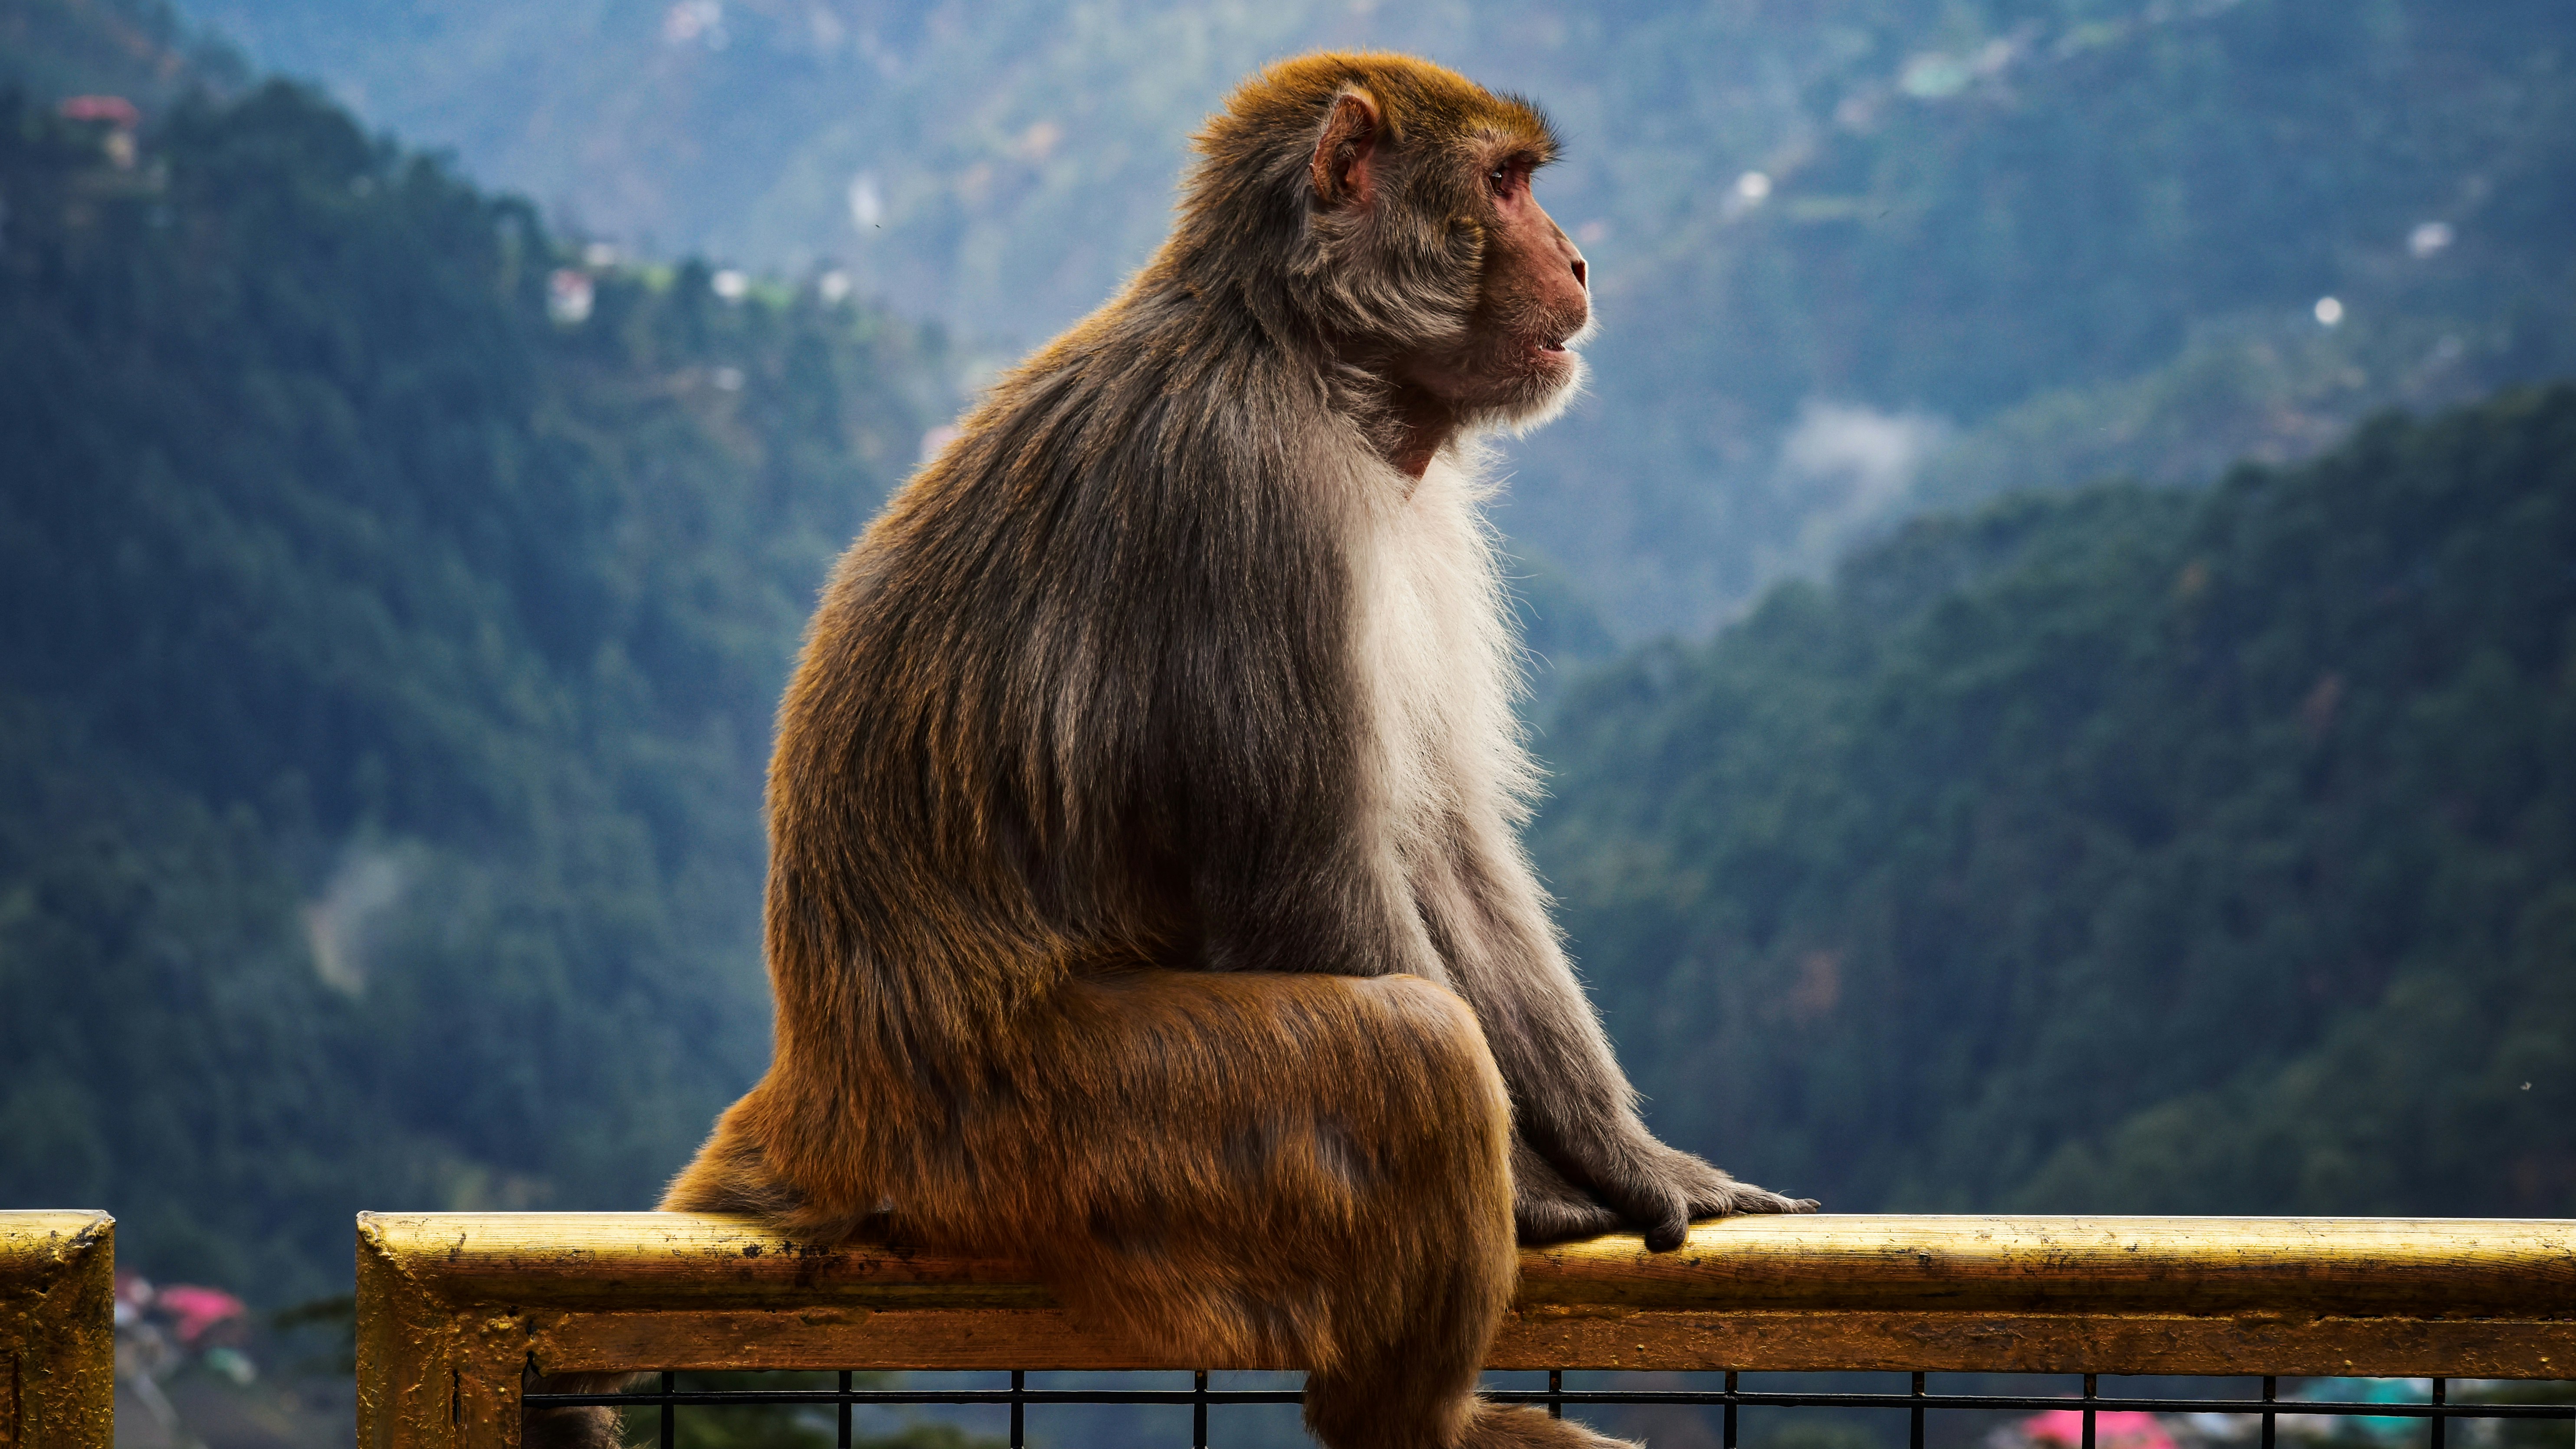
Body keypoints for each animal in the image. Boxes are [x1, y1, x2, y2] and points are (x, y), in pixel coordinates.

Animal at [529, 50, 1813, 1449]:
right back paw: (1416, 1417)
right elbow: (1310, 884)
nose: (1579, 260)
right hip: (1062, 1138)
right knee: (1409, 1049)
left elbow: (1447, 854)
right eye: (1505, 184)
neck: (1314, 367)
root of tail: (827, 1100)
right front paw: (1536, 1186)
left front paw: (1629, 1152)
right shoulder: (1249, 496)